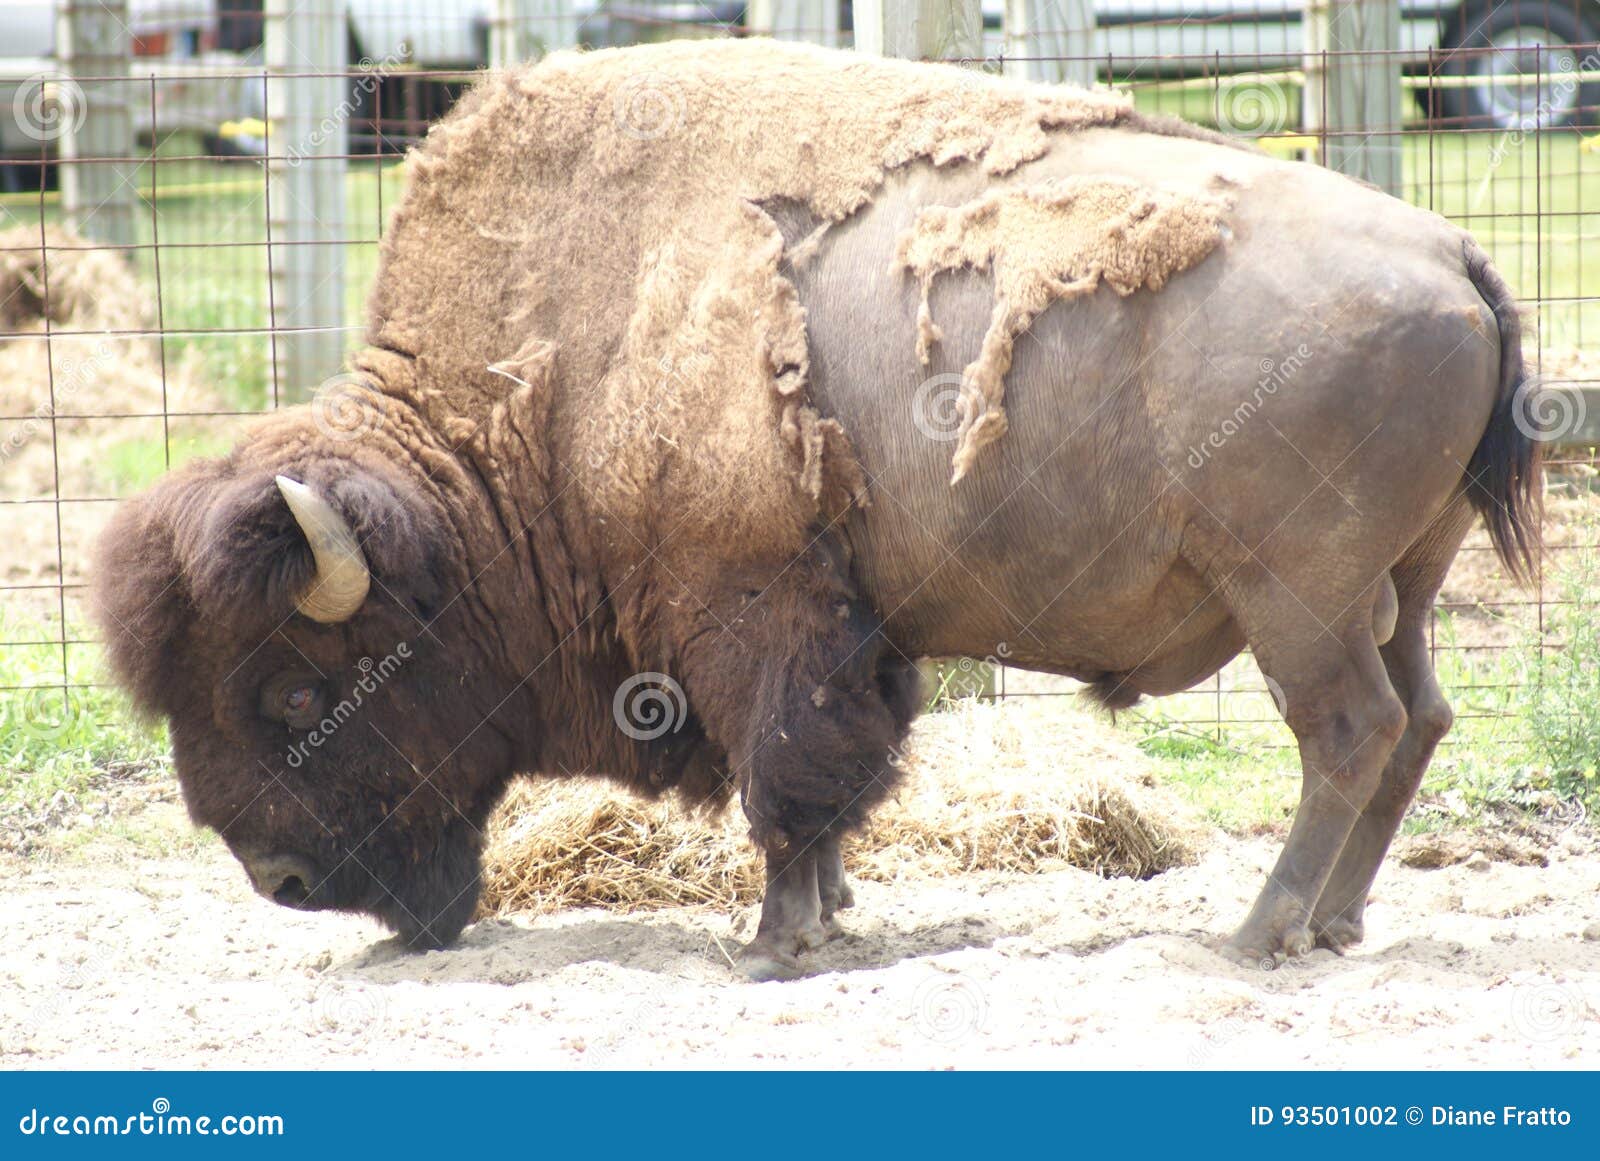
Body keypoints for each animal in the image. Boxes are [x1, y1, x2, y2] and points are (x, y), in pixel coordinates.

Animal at [96, 40, 1541, 980]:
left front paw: (777, 942)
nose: (284, 885)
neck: (525, 410)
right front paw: (835, 911)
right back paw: (1334, 923)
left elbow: (786, 772)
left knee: (1349, 732)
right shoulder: (858, 628)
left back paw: (1258, 933)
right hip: (1401, 587)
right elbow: (840, 773)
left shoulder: (758, 614)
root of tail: (1450, 254)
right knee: (1418, 719)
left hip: (1298, 600)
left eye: (293, 690)